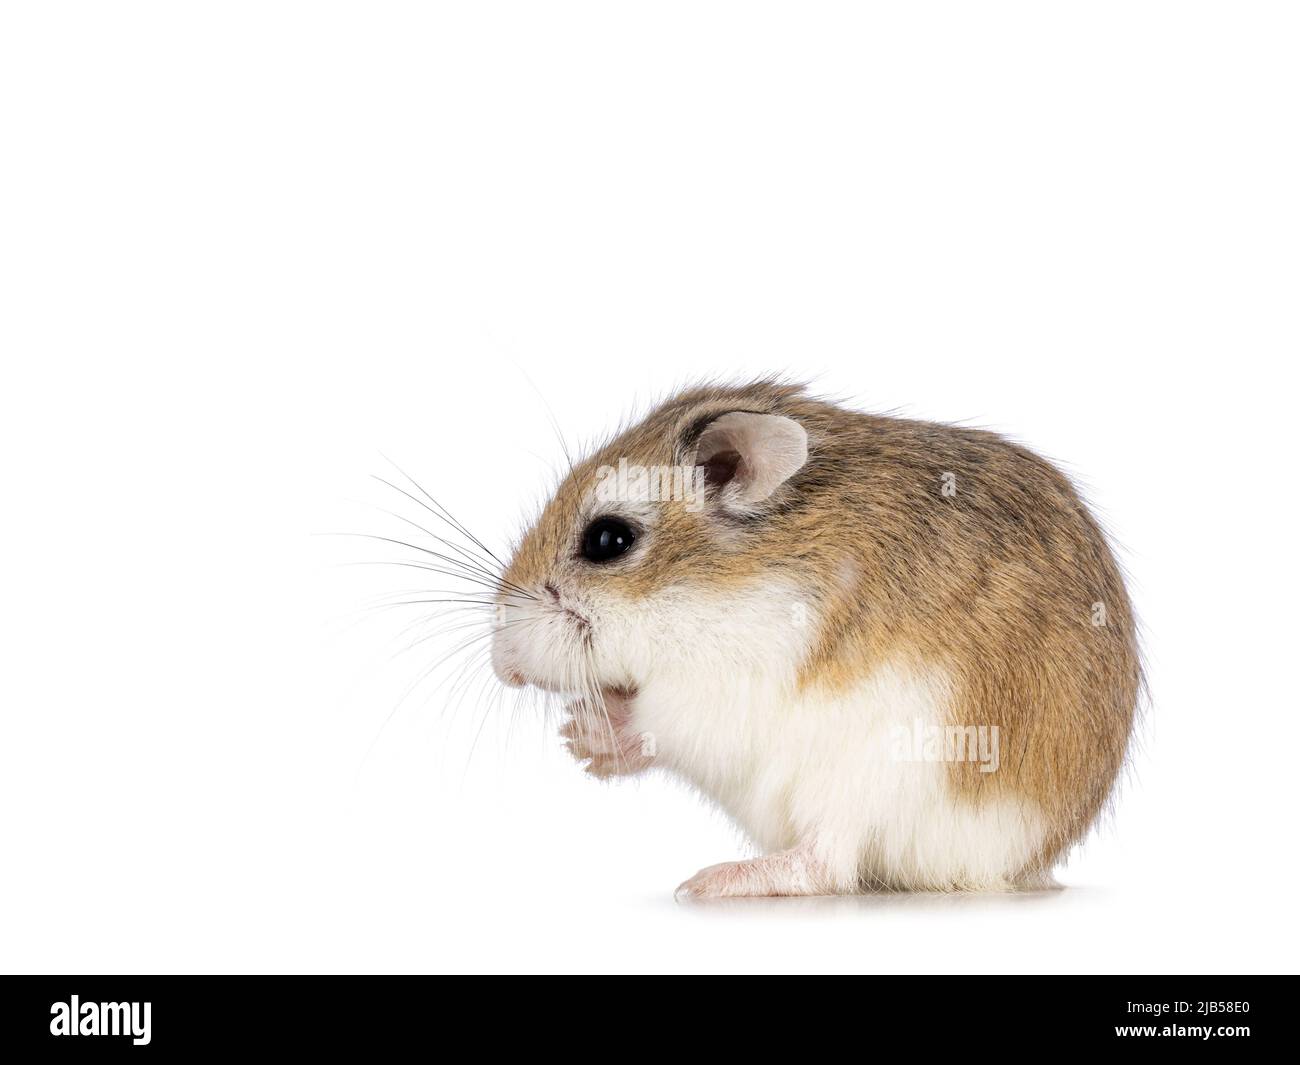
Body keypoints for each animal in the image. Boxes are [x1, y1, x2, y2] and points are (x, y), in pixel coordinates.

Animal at [489, 380, 1140, 896]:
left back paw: (714, 881)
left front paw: (585, 733)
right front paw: (580, 737)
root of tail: (1017, 864)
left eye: (608, 540)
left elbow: (659, 718)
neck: (717, 583)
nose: (502, 665)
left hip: (876, 772)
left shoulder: (731, 679)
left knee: (825, 864)